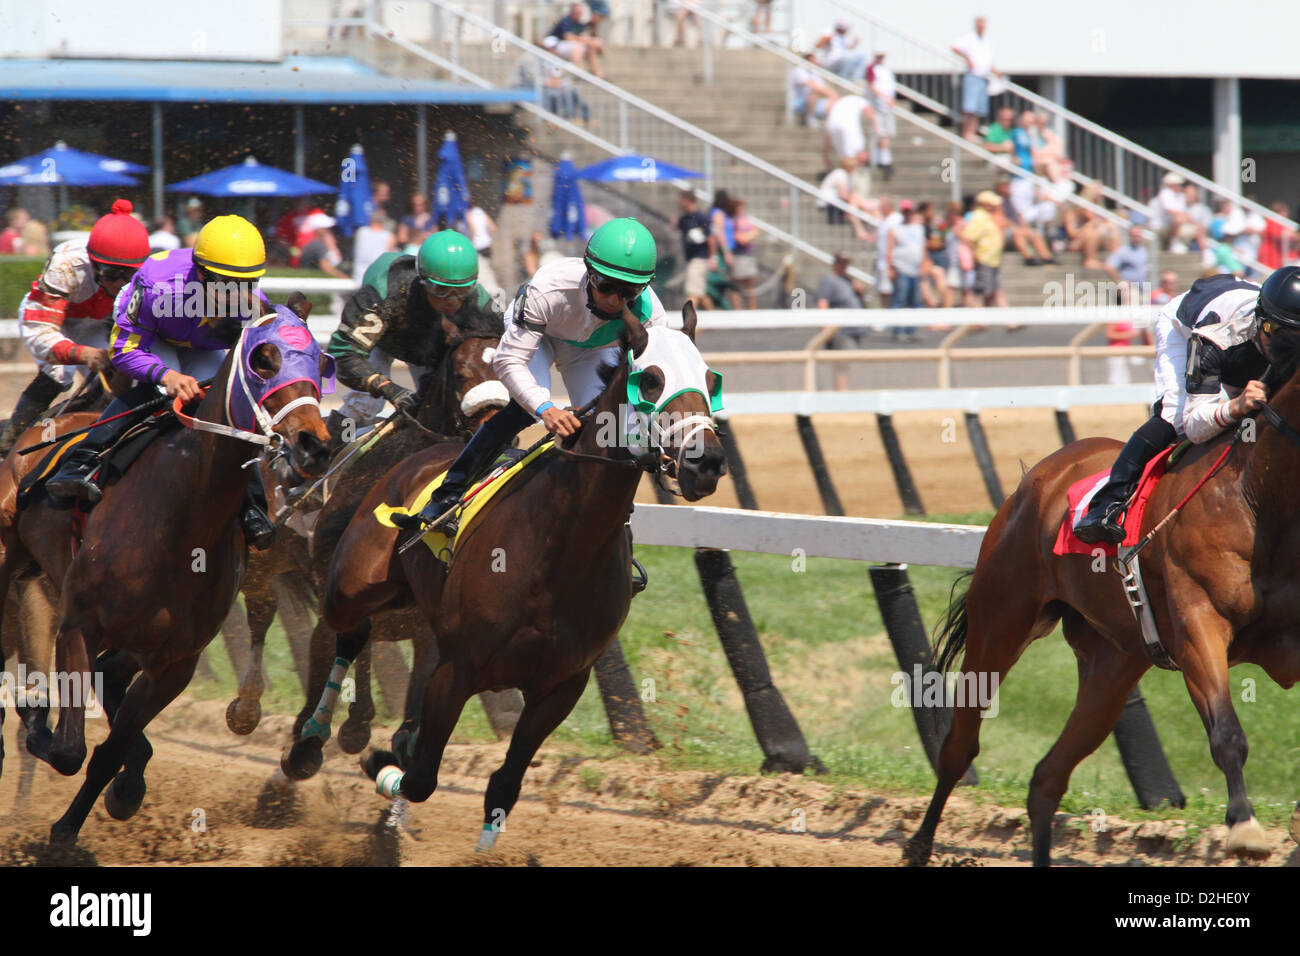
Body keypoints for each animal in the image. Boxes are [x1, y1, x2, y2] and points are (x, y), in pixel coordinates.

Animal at [0, 296, 332, 843]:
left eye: (324, 362)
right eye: (263, 359)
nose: (314, 446)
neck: (179, 521)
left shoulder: (175, 661)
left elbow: (105, 752)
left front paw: (90, 812)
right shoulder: (78, 624)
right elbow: (68, 748)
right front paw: (37, 725)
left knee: (111, 679)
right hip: (15, 566)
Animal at [287, 303, 726, 847]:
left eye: (709, 379)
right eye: (650, 379)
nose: (706, 462)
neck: (561, 548)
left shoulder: (560, 686)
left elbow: (502, 787)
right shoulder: (457, 669)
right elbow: (420, 777)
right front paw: (383, 766)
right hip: (352, 583)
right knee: (345, 634)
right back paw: (308, 742)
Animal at [904, 346, 1300, 867]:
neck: (1259, 501)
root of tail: (1040, 476)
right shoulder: (1198, 628)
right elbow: (1227, 734)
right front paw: (1244, 828)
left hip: (1113, 665)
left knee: (1047, 778)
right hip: (1000, 625)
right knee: (960, 745)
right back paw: (919, 843)